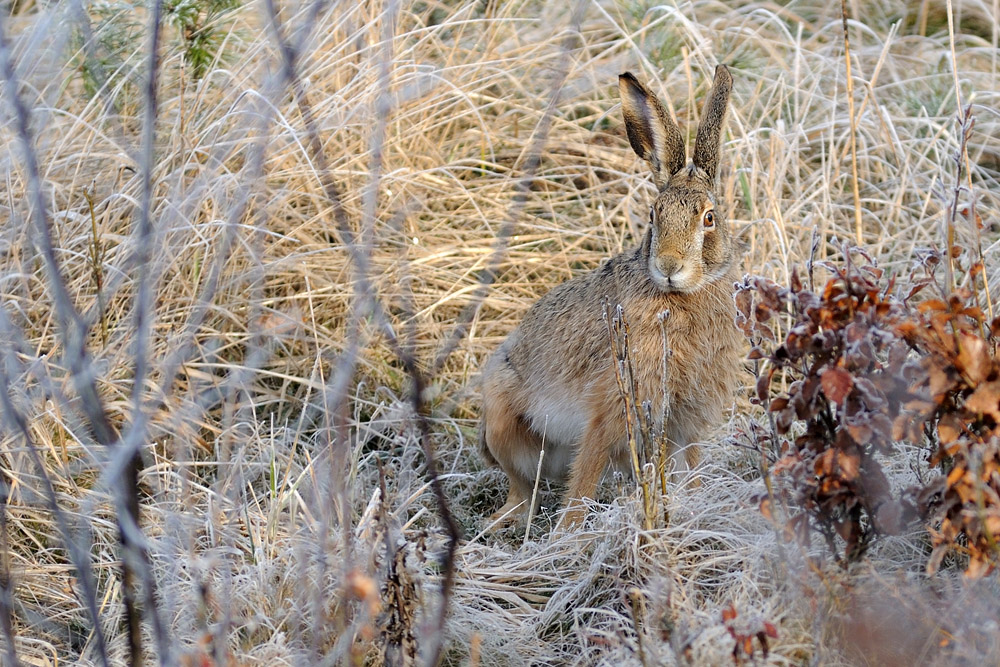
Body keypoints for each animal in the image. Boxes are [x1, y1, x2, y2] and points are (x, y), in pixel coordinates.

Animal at [479, 65, 743, 527]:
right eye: (655, 216)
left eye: (709, 219)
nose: (669, 266)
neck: (681, 298)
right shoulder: (611, 411)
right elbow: (584, 480)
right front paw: (570, 536)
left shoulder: (687, 423)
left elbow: (690, 467)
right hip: (502, 422)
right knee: (523, 487)